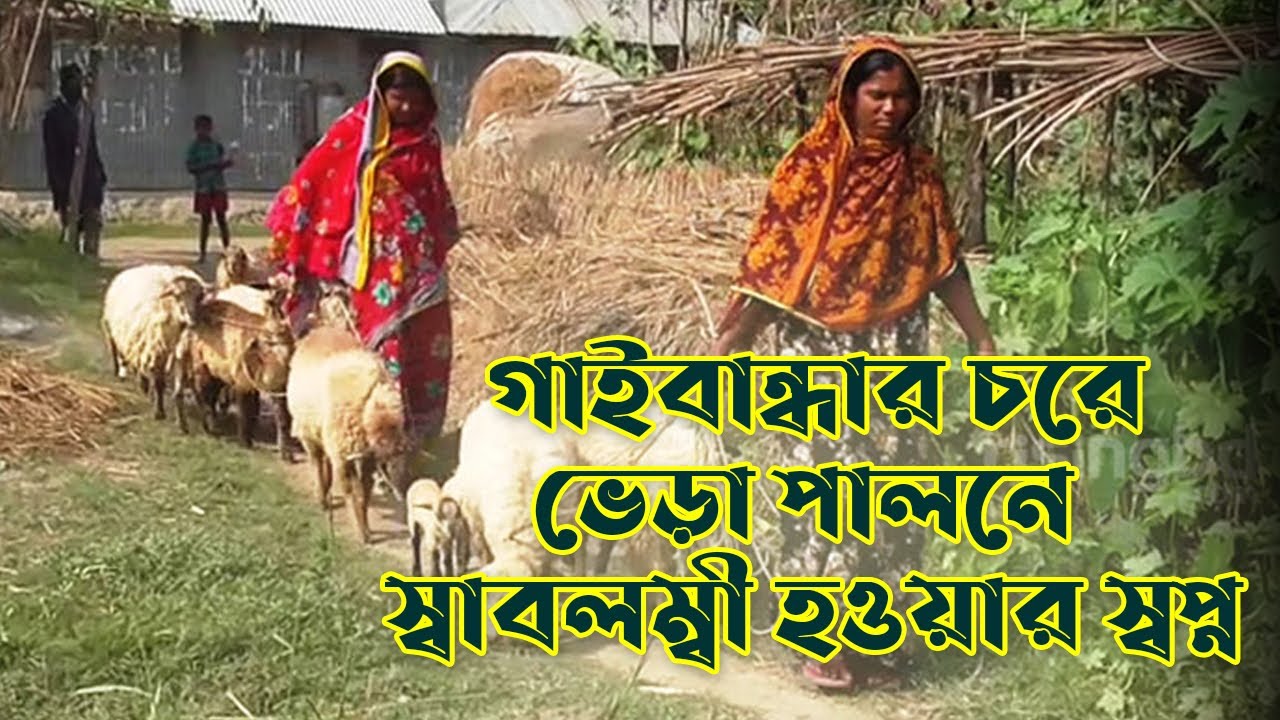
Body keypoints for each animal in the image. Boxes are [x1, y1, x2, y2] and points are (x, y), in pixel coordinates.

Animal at [100, 263, 209, 421]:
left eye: (198, 297)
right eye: (177, 296)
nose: (190, 320)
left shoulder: (176, 353)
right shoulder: (157, 351)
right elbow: (159, 383)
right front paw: (159, 412)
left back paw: (143, 384)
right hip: (115, 331)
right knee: (116, 351)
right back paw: (122, 374)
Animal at [171, 286, 295, 460]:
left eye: (292, 350)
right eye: (267, 350)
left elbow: (278, 412)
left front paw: (286, 454)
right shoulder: (241, 372)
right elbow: (245, 407)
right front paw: (245, 443)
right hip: (199, 360)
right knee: (203, 391)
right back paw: (208, 426)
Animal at [287, 324, 413, 544]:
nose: (402, 448)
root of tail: (320, 329)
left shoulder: (367, 458)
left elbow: (365, 492)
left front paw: (366, 529)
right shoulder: (344, 457)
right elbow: (351, 492)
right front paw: (360, 530)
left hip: (324, 435)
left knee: (325, 463)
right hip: (309, 433)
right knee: (316, 463)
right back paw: (322, 497)